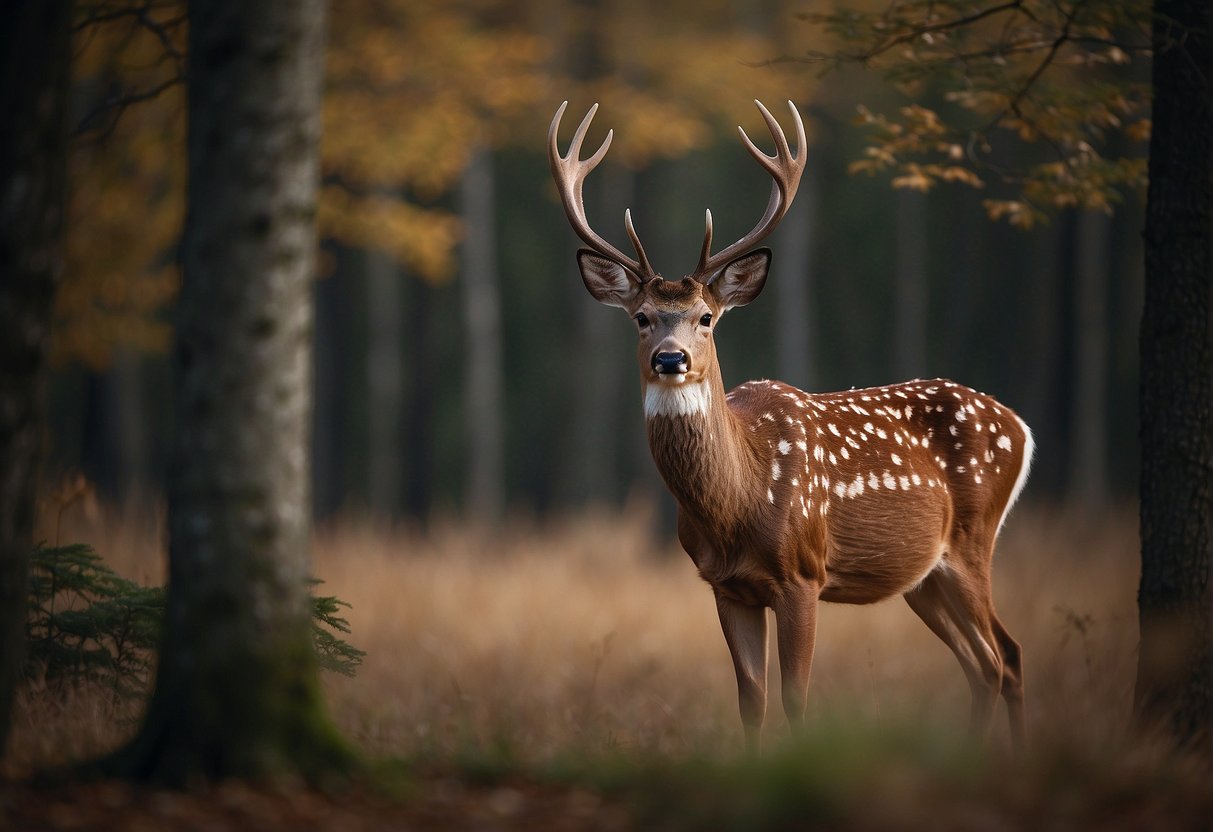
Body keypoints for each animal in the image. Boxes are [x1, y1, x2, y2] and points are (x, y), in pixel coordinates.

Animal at [548, 99, 1035, 752]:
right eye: (642, 317)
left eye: (707, 317)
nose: (671, 359)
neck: (739, 501)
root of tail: (1021, 426)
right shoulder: (725, 585)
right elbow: (751, 701)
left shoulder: (803, 572)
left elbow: (796, 700)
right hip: (923, 578)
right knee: (983, 664)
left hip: (973, 541)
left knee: (1007, 655)